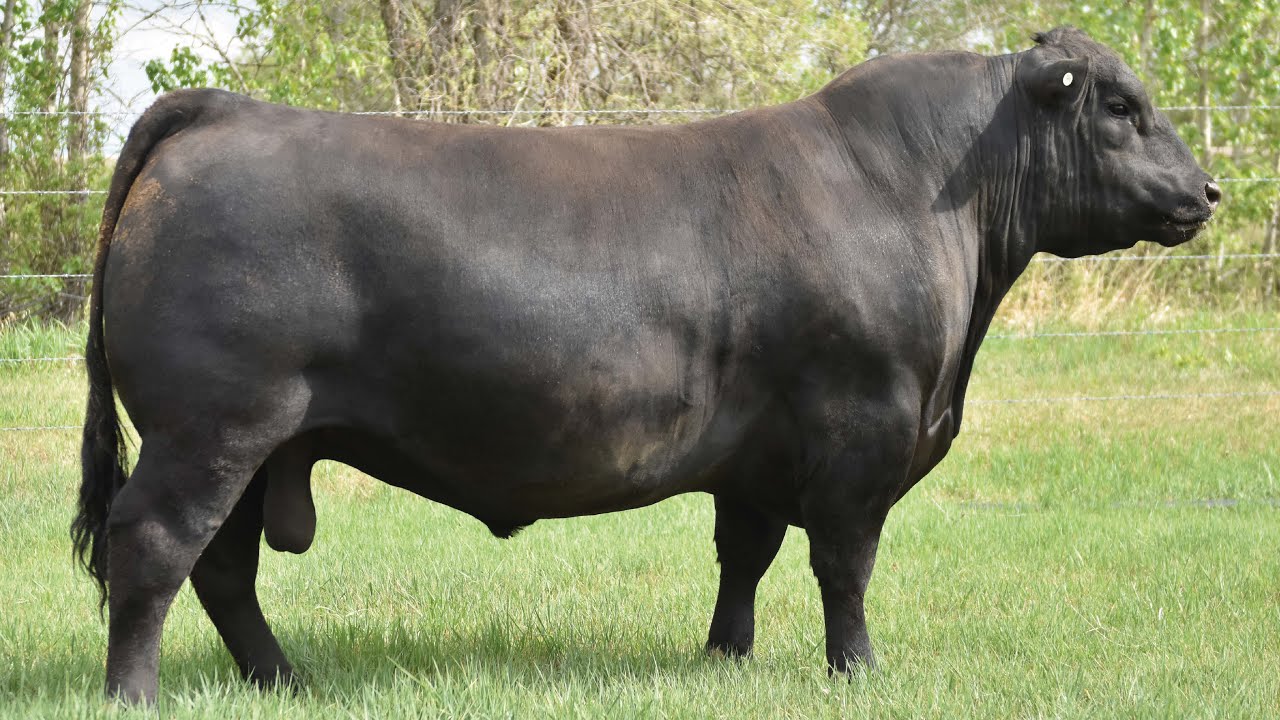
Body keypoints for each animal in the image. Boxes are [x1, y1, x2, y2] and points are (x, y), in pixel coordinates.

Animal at [73, 27, 1218, 703]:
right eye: (1119, 105)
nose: (1206, 190)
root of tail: (228, 108)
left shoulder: (761, 452)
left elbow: (744, 553)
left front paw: (726, 657)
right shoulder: (864, 435)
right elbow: (842, 566)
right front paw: (856, 672)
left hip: (256, 442)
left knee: (224, 567)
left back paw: (284, 680)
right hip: (209, 428)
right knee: (157, 548)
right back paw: (136, 693)